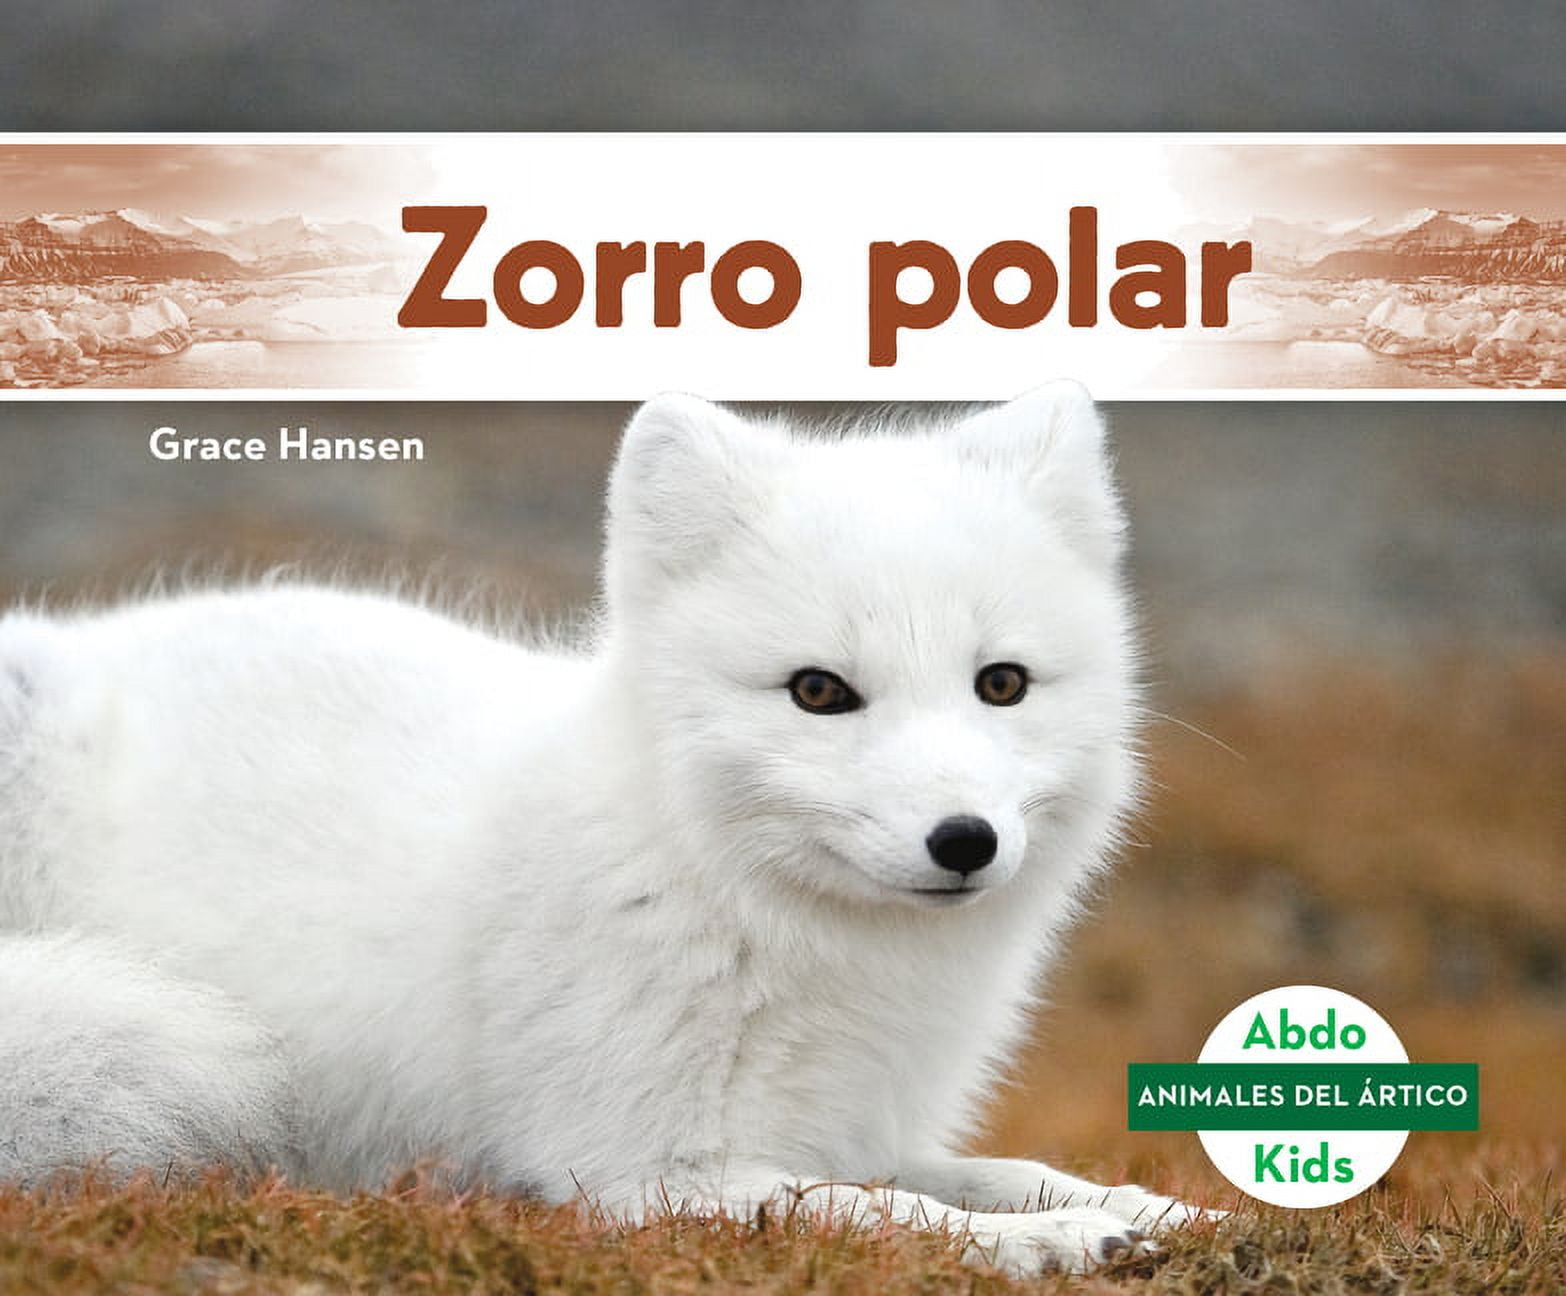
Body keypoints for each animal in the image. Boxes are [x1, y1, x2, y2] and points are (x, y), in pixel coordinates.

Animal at [0, 385, 1208, 1274]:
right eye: (819, 693)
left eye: (1002, 684)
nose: (964, 841)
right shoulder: (644, 1172)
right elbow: (882, 1214)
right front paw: (1055, 1240)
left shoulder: (862, 1129)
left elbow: (989, 1171)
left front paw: (1143, 1206)